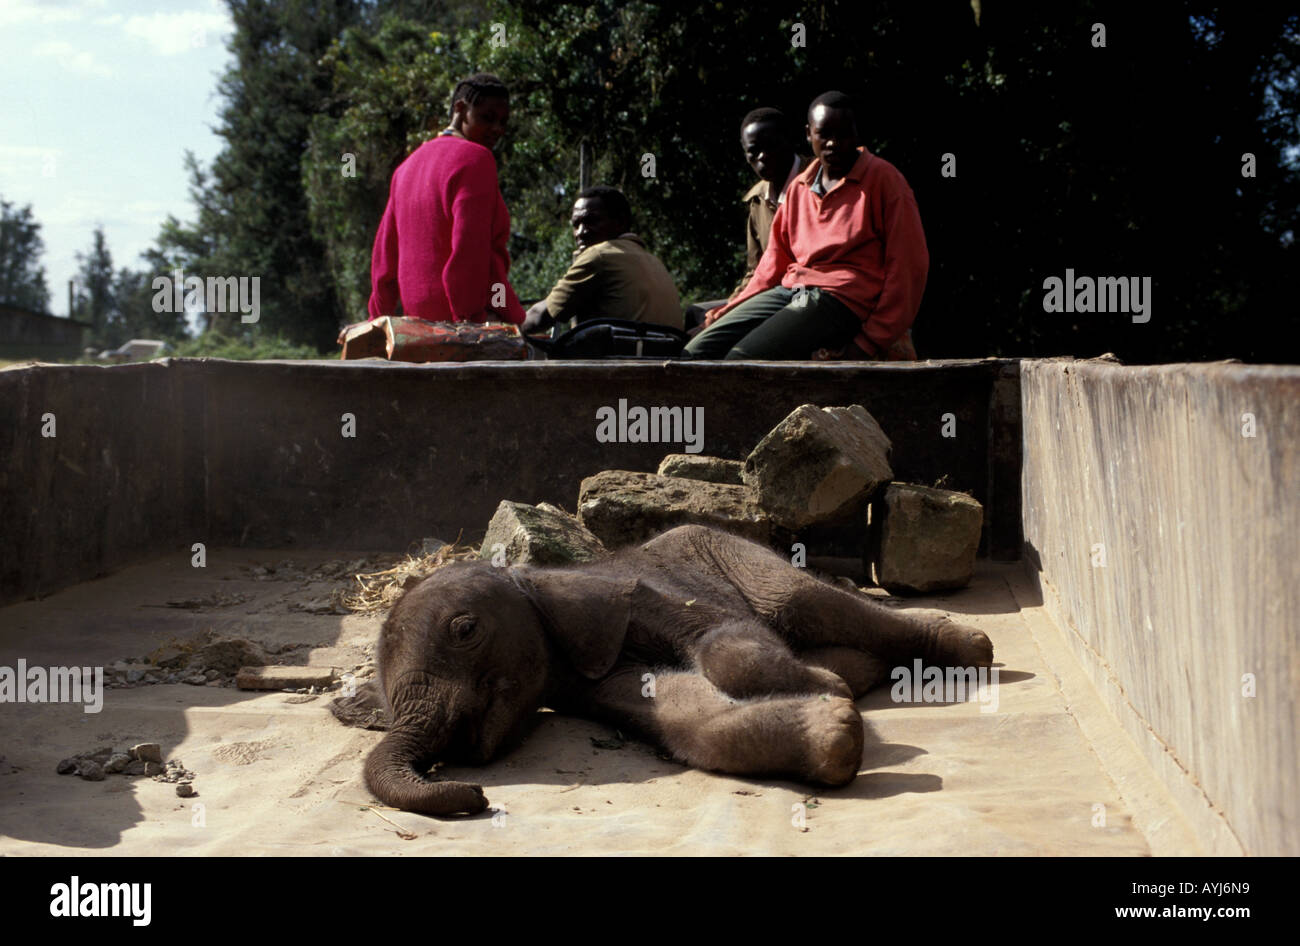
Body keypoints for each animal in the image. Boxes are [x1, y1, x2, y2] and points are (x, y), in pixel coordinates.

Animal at [344, 524, 994, 816]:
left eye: (465, 630)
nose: (478, 796)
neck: (533, 579)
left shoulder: (641, 595)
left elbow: (723, 645)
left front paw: (826, 692)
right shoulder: (588, 680)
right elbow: (686, 721)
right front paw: (836, 732)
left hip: (727, 550)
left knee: (797, 599)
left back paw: (970, 649)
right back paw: (855, 672)